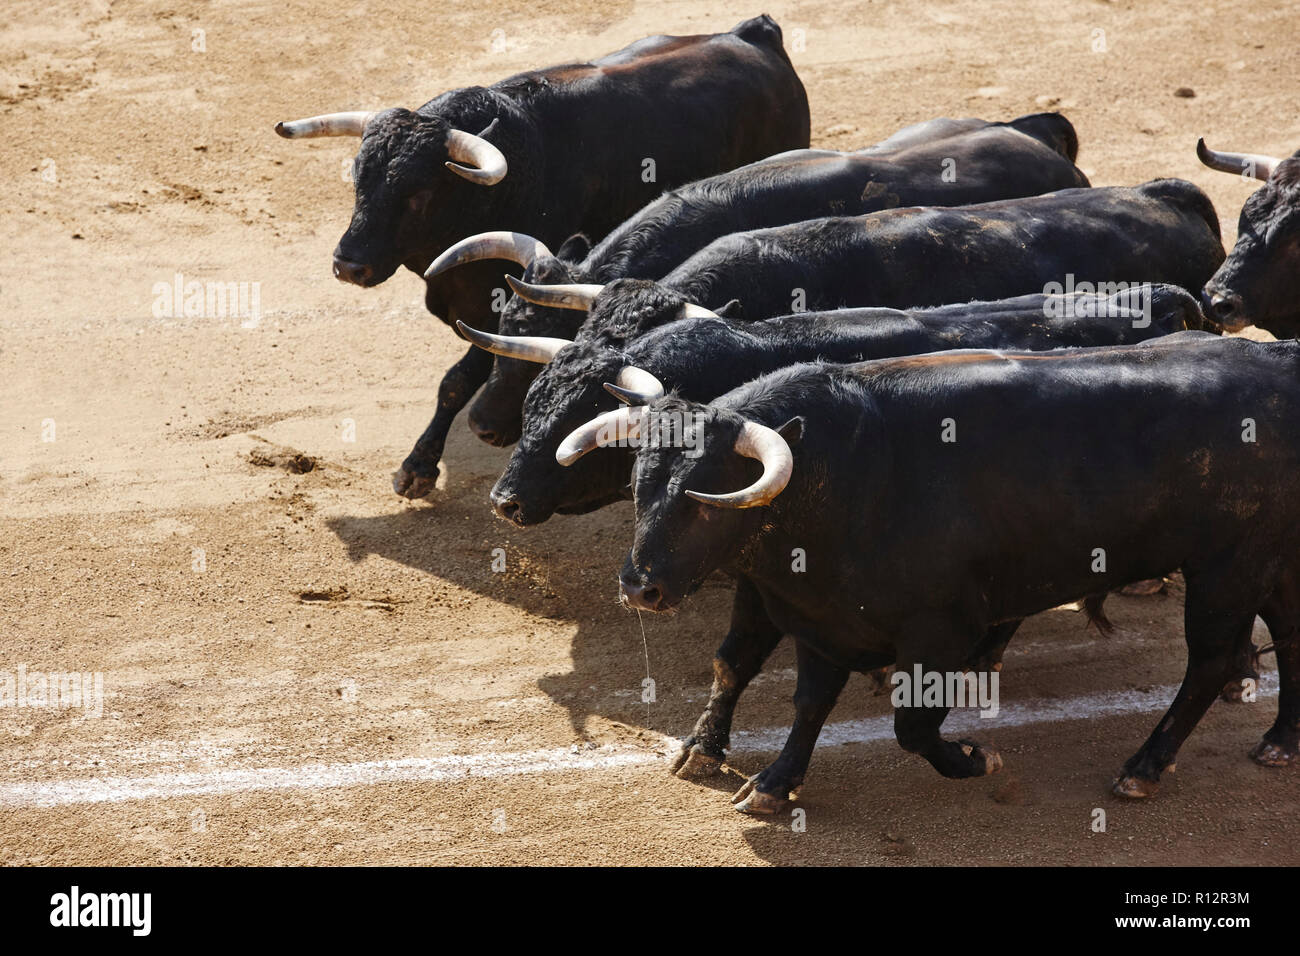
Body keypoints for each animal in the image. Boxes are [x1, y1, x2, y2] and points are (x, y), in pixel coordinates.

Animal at [275, 16, 810, 498]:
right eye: (359, 177)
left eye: (419, 193)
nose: (349, 264)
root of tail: (754, 33)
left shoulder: (498, 303)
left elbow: (458, 379)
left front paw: (419, 466)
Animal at [580, 334, 1300, 812]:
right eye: (640, 487)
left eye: (706, 503)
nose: (639, 587)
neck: (843, 474)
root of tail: (1279, 363)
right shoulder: (812, 616)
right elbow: (782, 688)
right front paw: (769, 780)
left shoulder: (942, 628)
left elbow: (913, 725)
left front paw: (976, 759)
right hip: (1270, 564)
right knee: (1289, 634)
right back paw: (1279, 740)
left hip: (1228, 567)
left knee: (1209, 663)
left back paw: (1144, 768)